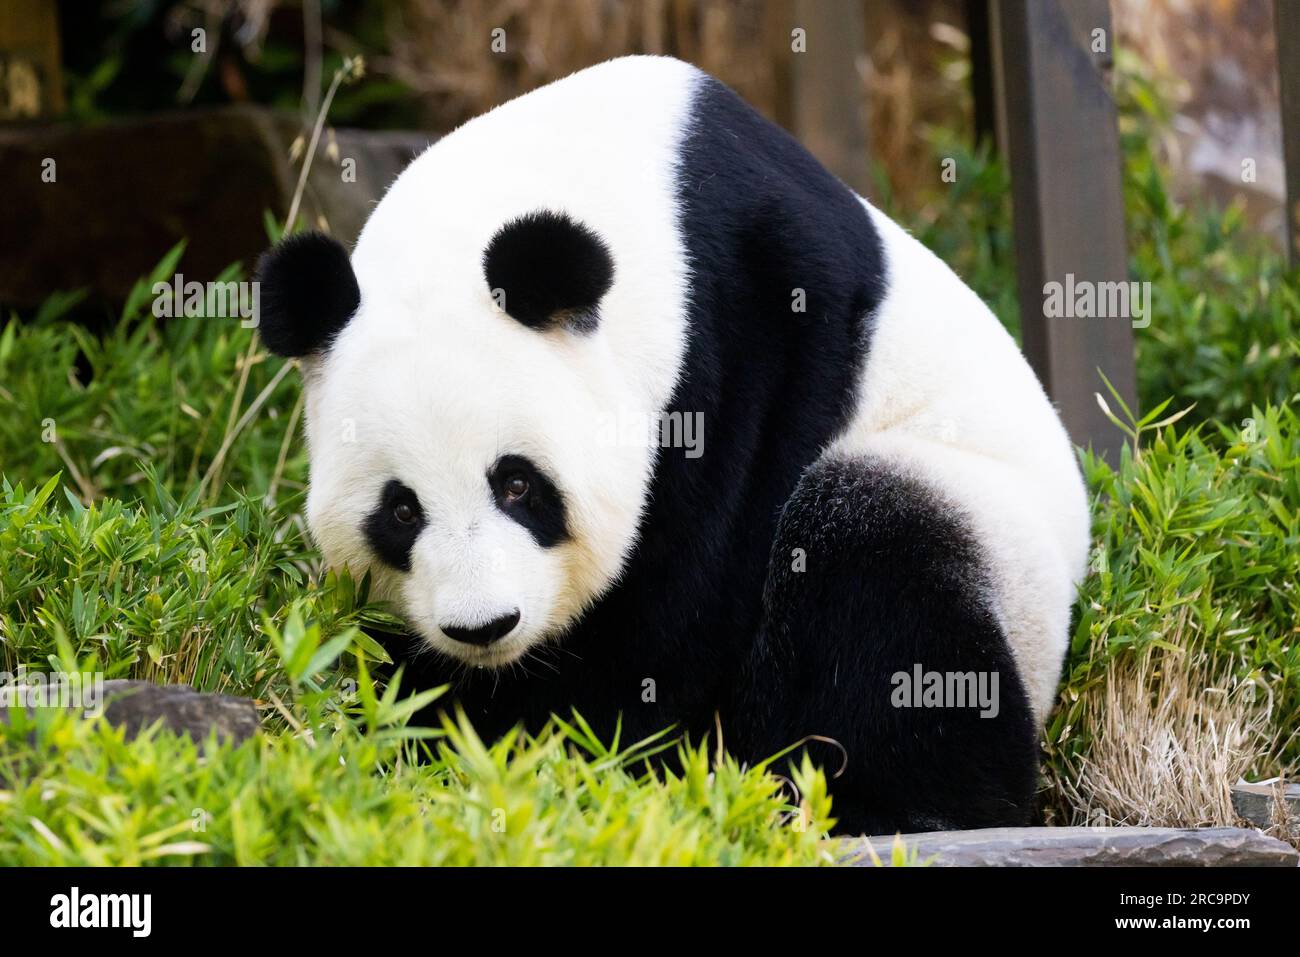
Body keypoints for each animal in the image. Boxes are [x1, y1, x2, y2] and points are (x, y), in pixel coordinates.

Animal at [254, 55, 1090, 835]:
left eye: (518, 484)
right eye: (400, 511)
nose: (483, 627)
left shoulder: (750, 330)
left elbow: (681, 603)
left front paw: (562, 746)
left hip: (994, 541)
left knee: (881, 563)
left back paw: (899, 806)